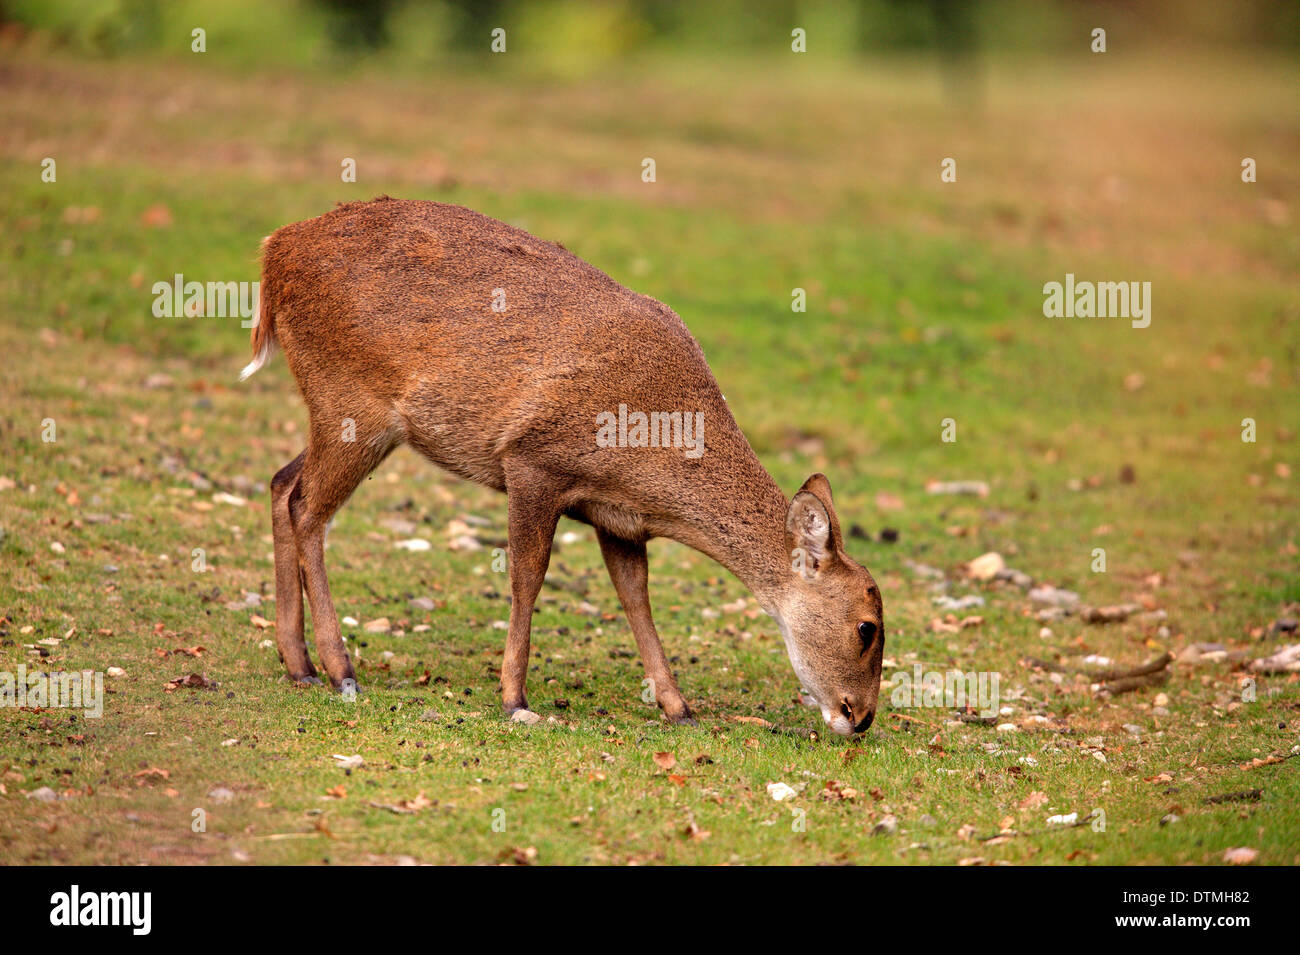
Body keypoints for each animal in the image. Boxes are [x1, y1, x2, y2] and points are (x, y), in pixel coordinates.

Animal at [241, 197, 884, 736]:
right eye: (866, 627)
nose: (860, 717)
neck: (651, 455)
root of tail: (273, 251)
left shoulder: (619, 518)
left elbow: (636, 598)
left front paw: (678, 707)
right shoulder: (533, 461)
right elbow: (528, 577)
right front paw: (514, 698)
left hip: (347, 416)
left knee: (281, 482)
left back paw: (297, 663)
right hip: (351, 401)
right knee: (308, 508)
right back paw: (340, 668)